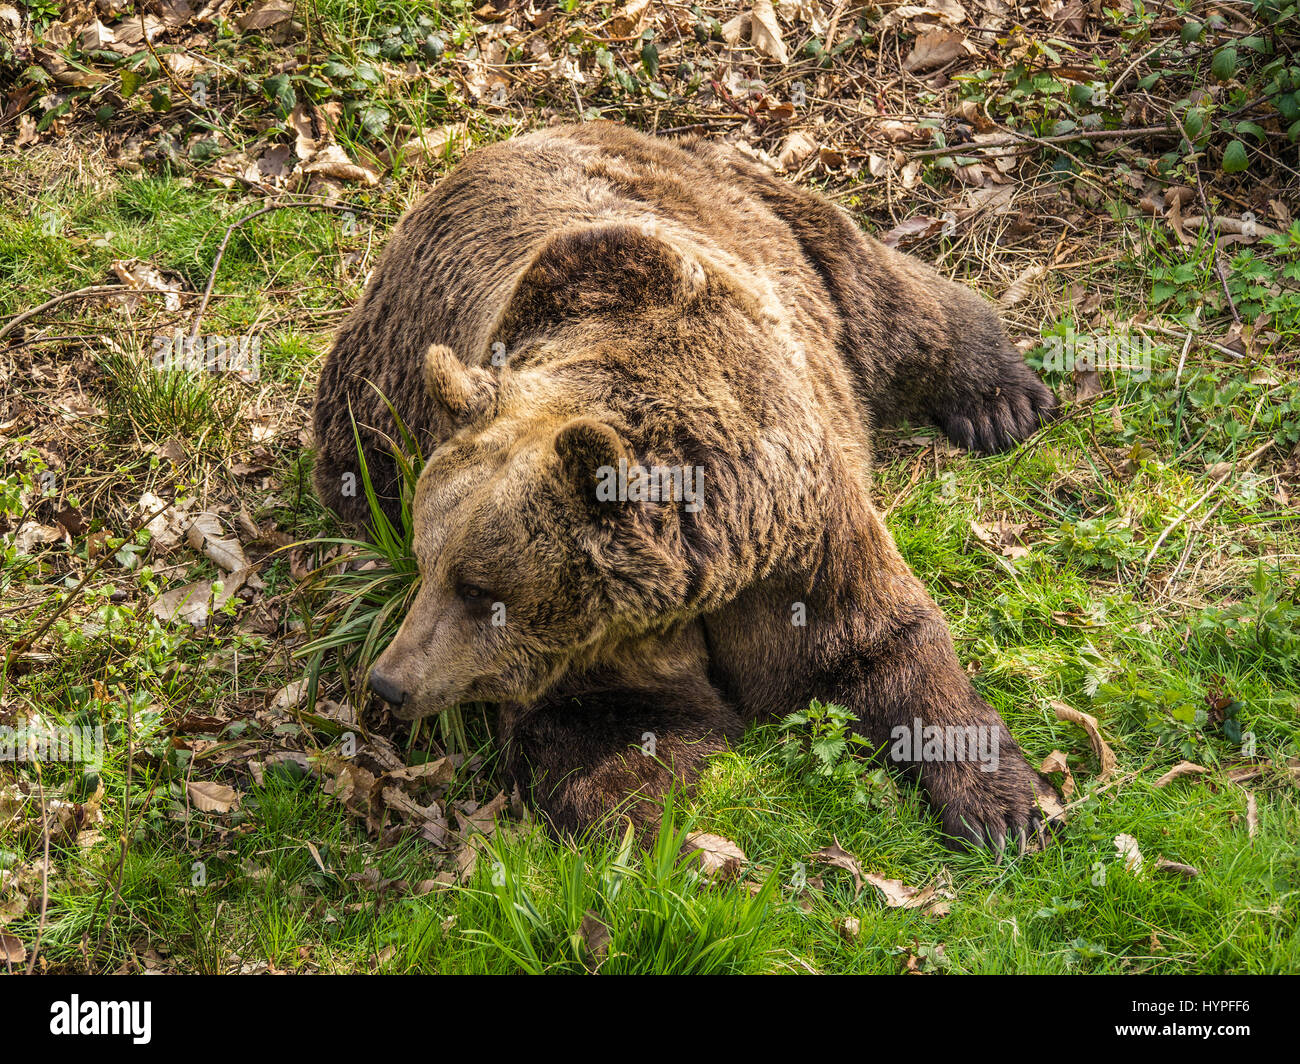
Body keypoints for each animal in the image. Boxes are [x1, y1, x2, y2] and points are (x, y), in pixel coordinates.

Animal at [313, 121, 1060, 851]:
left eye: (478, 590)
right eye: (425, 563)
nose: (390, 681)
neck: (713, 560)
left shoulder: (798, 537)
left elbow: (871, 641)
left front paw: (1002, 806)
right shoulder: (600, 631)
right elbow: (611, 722)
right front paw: (665, 830)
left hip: (771, 225)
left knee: (886, 305)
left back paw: (1000, 402)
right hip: (375, 402)